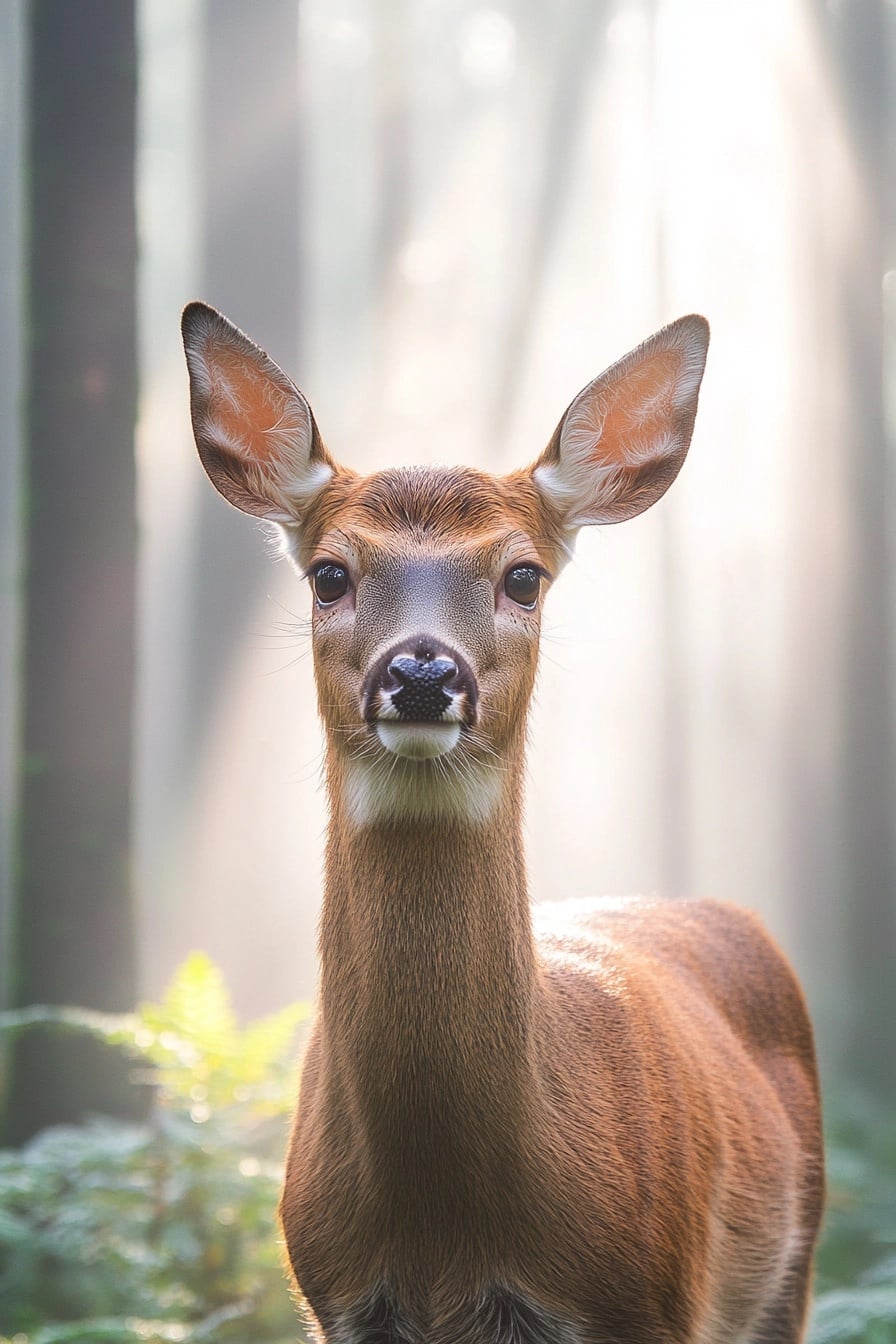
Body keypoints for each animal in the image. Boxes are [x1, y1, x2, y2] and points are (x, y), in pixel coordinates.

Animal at [181, 301, 824, 1344]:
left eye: (523, 576)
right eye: (329, 574)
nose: (421, 672)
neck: (449, 1225)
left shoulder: (653, 1300)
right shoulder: (338, 1304)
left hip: (787, 1277)